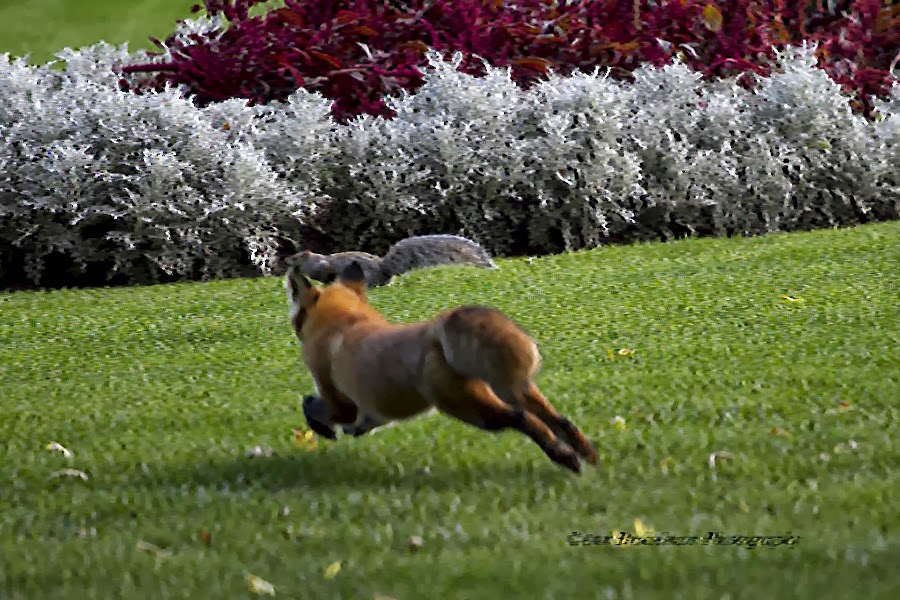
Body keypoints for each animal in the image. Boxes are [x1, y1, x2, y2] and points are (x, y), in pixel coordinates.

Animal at [284, 260, 600, 473]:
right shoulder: (378, 407)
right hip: (514, 390)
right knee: (561, 421)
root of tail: (435, 330)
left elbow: (310, 404)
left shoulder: (339, 401)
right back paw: (588, 455)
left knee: (524, 419)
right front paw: (351, 431)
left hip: (473, 411)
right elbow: (363, 419)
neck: (346, 321)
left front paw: (325, 429)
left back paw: (564, 456)